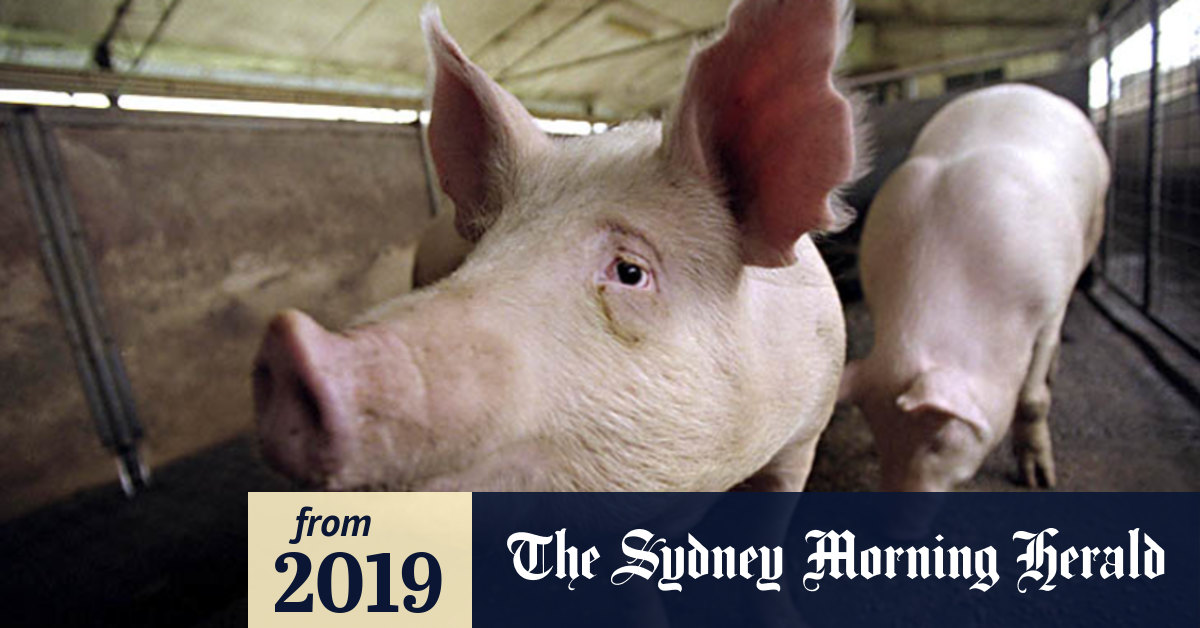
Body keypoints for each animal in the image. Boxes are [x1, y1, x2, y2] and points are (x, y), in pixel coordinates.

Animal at [839, 84, 1110, 491]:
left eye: (939, 439)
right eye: (879, 435)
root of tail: (1018, 88)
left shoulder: (1049, 303)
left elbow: (1033, 399)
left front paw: (1039, 480)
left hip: (1096, 217)